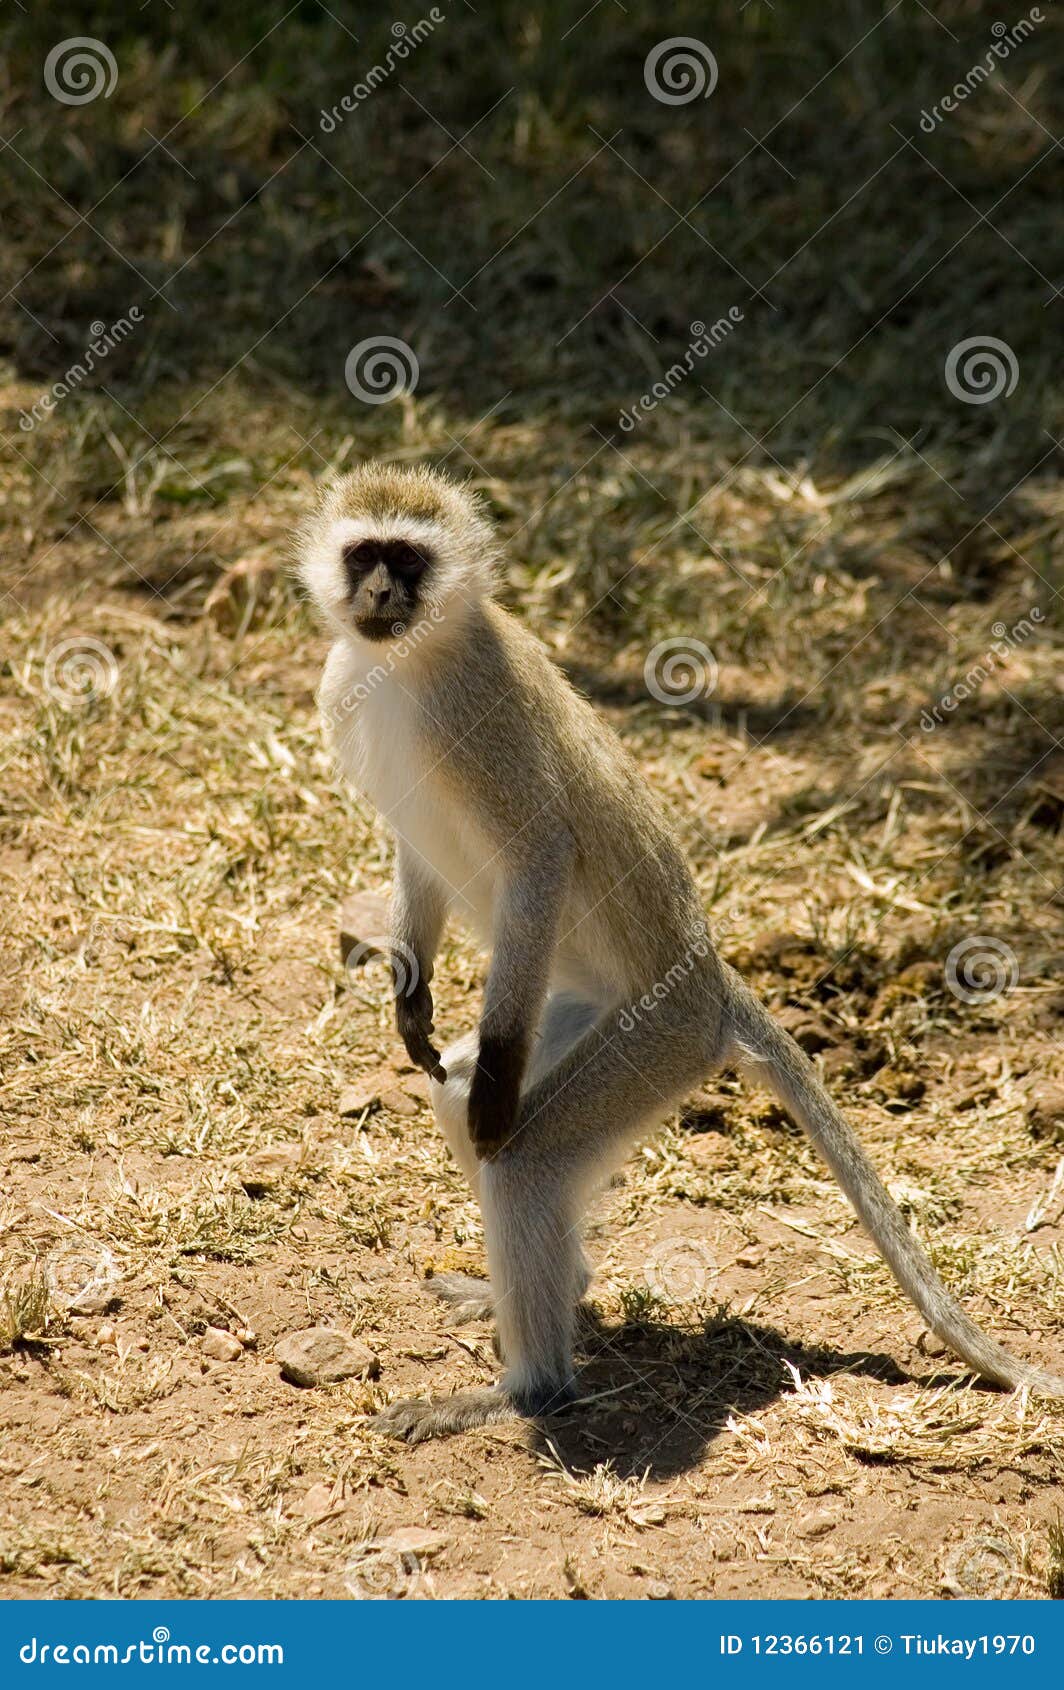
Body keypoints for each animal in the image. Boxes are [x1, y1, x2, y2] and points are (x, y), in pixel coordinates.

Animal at [298, 460, 1064, 1443]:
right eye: (364, 555)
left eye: (410, 560)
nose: (381, 596)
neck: (406, 663)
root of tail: (707, 975)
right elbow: (417, 855)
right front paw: (411, 996)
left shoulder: (482, 721)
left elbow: (541, 856)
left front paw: (496, 1081)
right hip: (584, 1008)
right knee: (459, 1094)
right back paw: (562, 1287)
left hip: (657, 1039)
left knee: (523, 1154)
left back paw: (529, 1387)